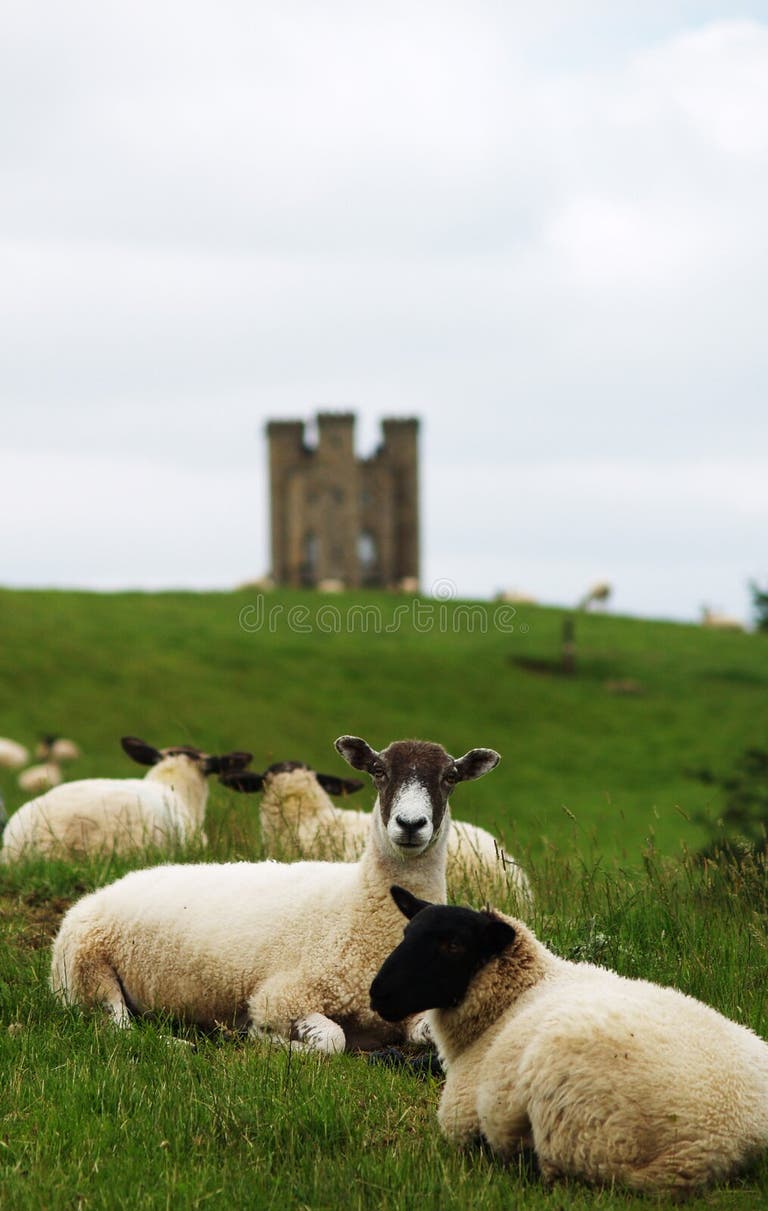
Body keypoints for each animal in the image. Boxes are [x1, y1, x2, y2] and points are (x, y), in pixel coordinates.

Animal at [49, 735, 501, 1054]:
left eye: (450, 777)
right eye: (379, 771)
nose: (410, 824)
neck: (360, 908)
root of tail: (97, 894)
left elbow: (427, 1037)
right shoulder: (281, 997)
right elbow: (332, 1041)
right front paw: (260, 1037)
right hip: (88, 974)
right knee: (117, 1028)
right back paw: (177, 1042)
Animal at [370, 888, 768, 1195]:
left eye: (453, 945)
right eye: (405, 932)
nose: (377, 994)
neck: (517, 994)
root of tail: (734, 1140)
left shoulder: (460, 1112)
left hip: (585, 1132)